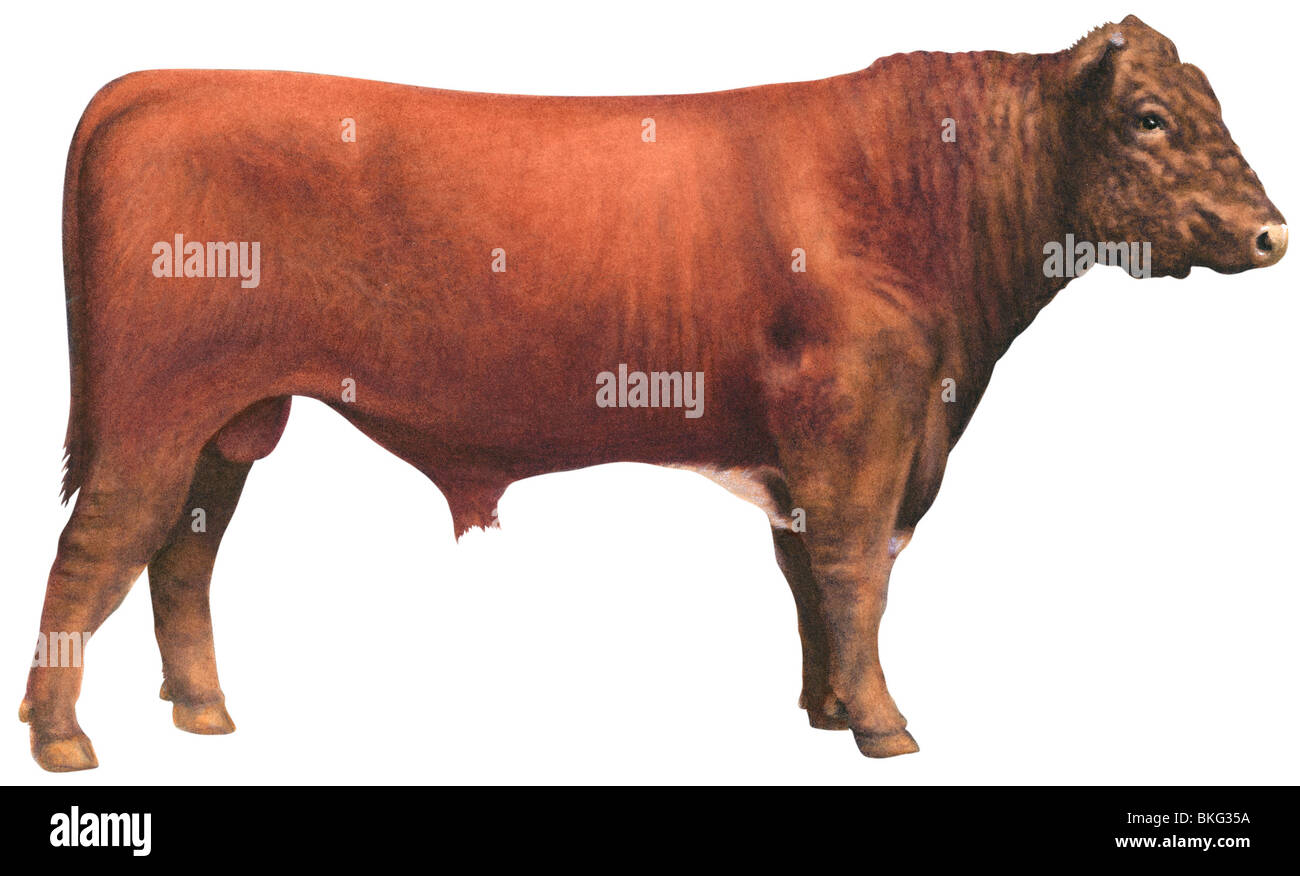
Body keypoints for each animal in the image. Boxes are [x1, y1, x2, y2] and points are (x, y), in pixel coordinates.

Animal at [21, 15, 1286, 770]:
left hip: (231, 424)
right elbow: (854, 575)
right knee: (97, 550)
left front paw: (827, 710)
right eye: (1149, 118)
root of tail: (157, 81)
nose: (1272, 232)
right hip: (154, 412)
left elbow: (806, 580)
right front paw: (883, 727)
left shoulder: (806, 451)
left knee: (181, 554)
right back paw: (61, 740)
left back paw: (204, 712)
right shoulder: (859, 427)